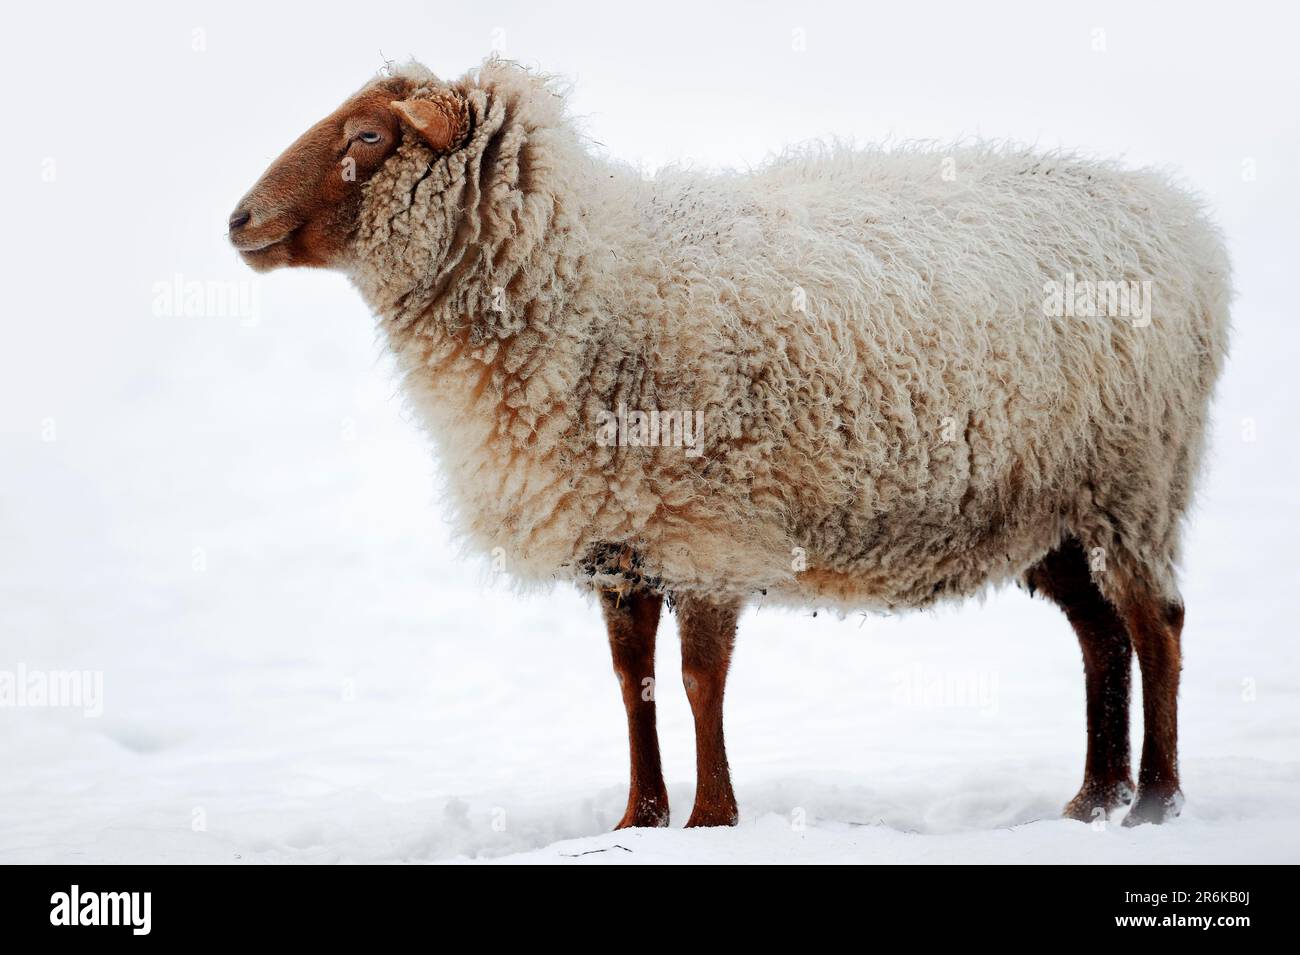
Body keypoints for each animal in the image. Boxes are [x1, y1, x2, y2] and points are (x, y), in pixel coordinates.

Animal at [230, 58, 1231, 831]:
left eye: (368, 137)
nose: (237, 220)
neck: (588, 283)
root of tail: (1180, 217)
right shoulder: (620, 540)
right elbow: (631, 681)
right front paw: (638, 818)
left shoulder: (705, 528)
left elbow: (698, 679)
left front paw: (713, 819)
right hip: (1051, 503)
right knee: (1101, 637)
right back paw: (1093, 798)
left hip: (1136, 481)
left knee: (1158, 629)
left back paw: (1156, 802)